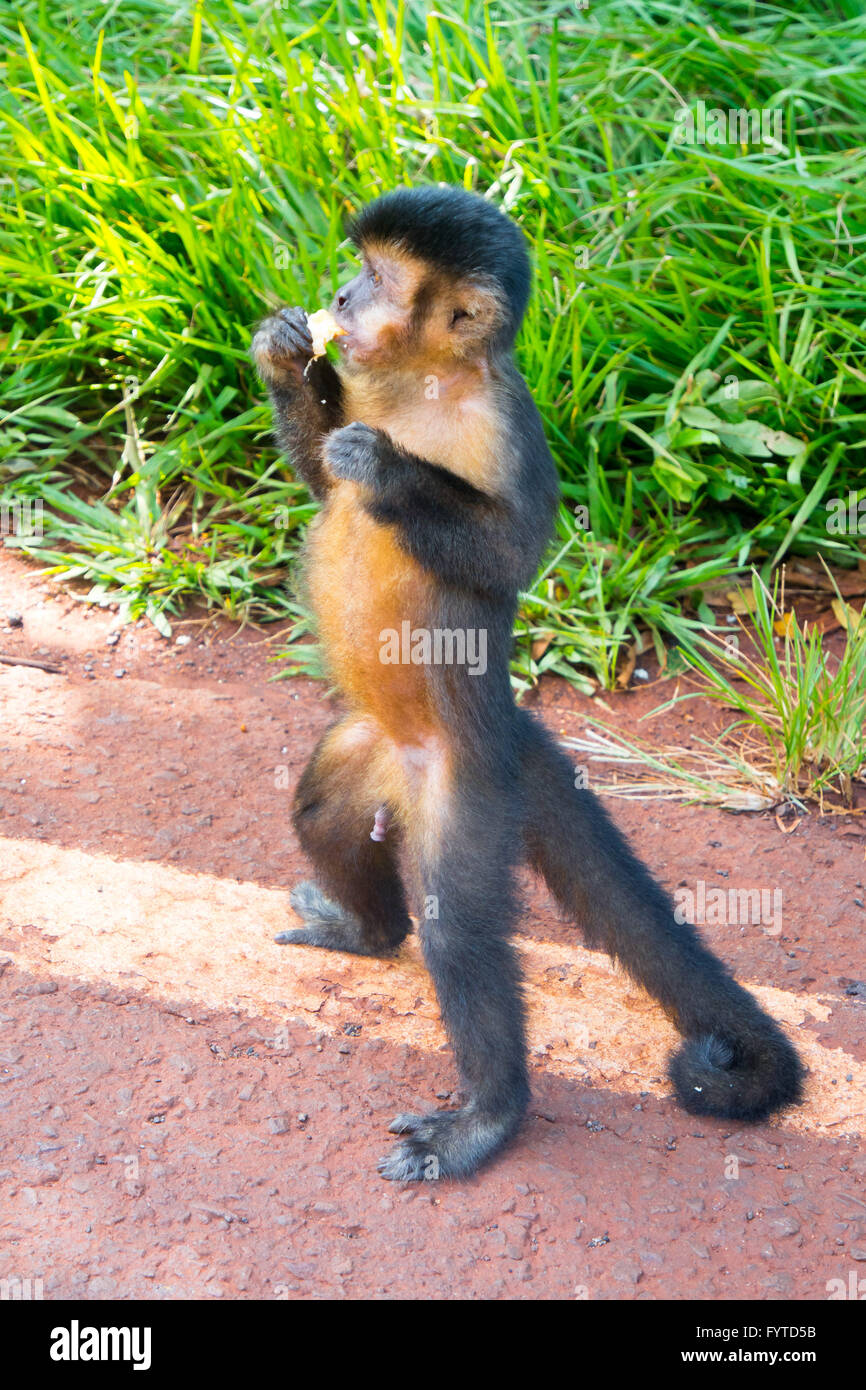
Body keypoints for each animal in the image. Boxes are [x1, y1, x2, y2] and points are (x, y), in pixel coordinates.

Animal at [251, 185, 804, 1181]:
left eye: (377, 277)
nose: (340, 299)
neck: (424, 386)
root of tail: (508, 725)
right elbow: (319, 480)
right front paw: (281, 346)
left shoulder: (509, 424)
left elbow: (508, 553)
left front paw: (385, 468)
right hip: (369, 750)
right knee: (322, 815)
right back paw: (366, 933)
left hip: (467, 789)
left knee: (459, 935)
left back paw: (486, 1119)